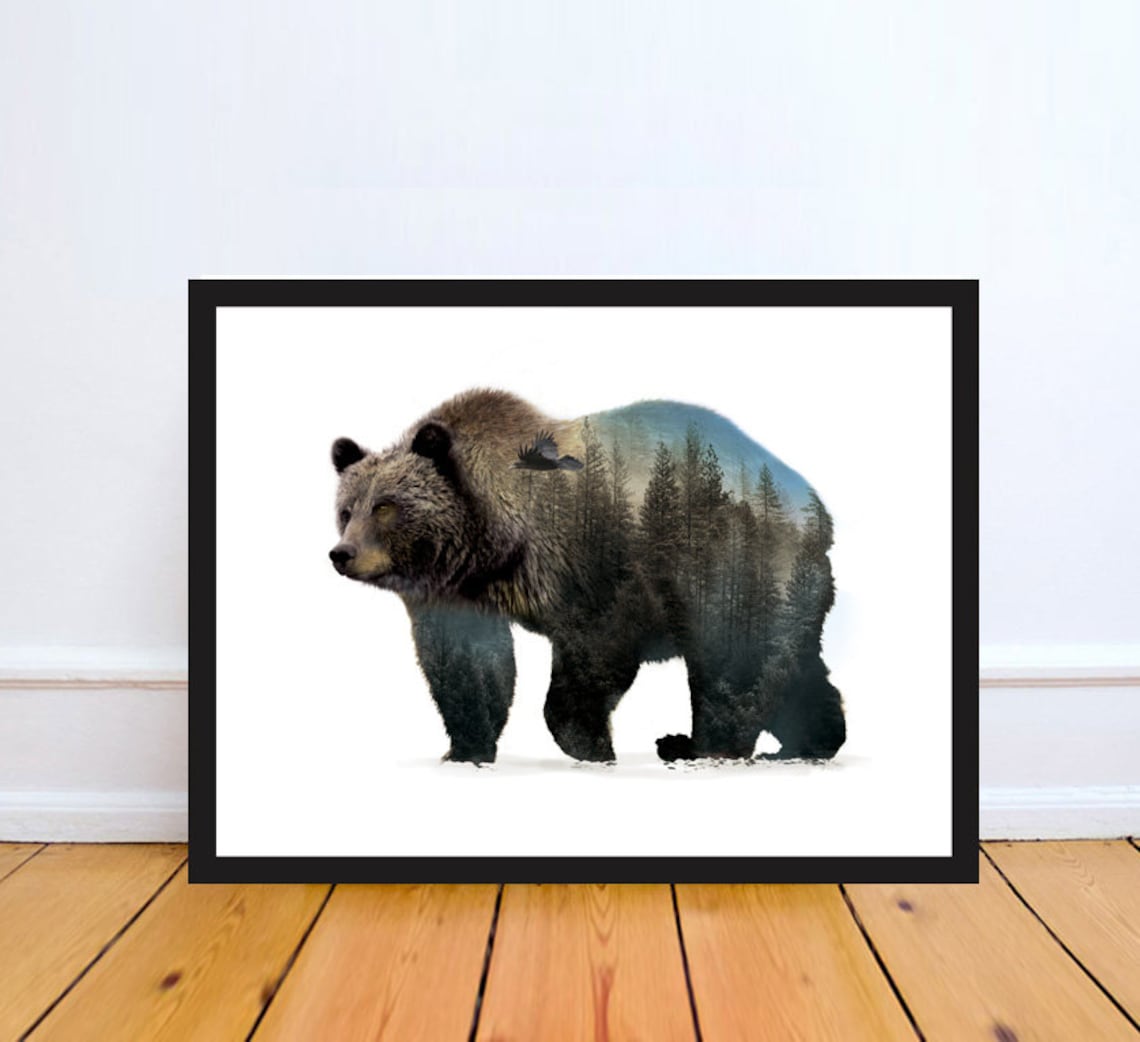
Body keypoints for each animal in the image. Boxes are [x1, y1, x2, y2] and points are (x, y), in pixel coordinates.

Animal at [329, 388, 845, 765]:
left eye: (385, 507)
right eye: (346, 510)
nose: (342, 554)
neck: (496, 545)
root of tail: (816, 506)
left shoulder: (595, 560)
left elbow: (597, 648)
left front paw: (588, 740)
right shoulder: (456, 593)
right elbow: (467, 665)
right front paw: (466, 748)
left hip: (737, 555)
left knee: (734, 654)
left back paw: (700, 745)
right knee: (792, 661)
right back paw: (810, 740)